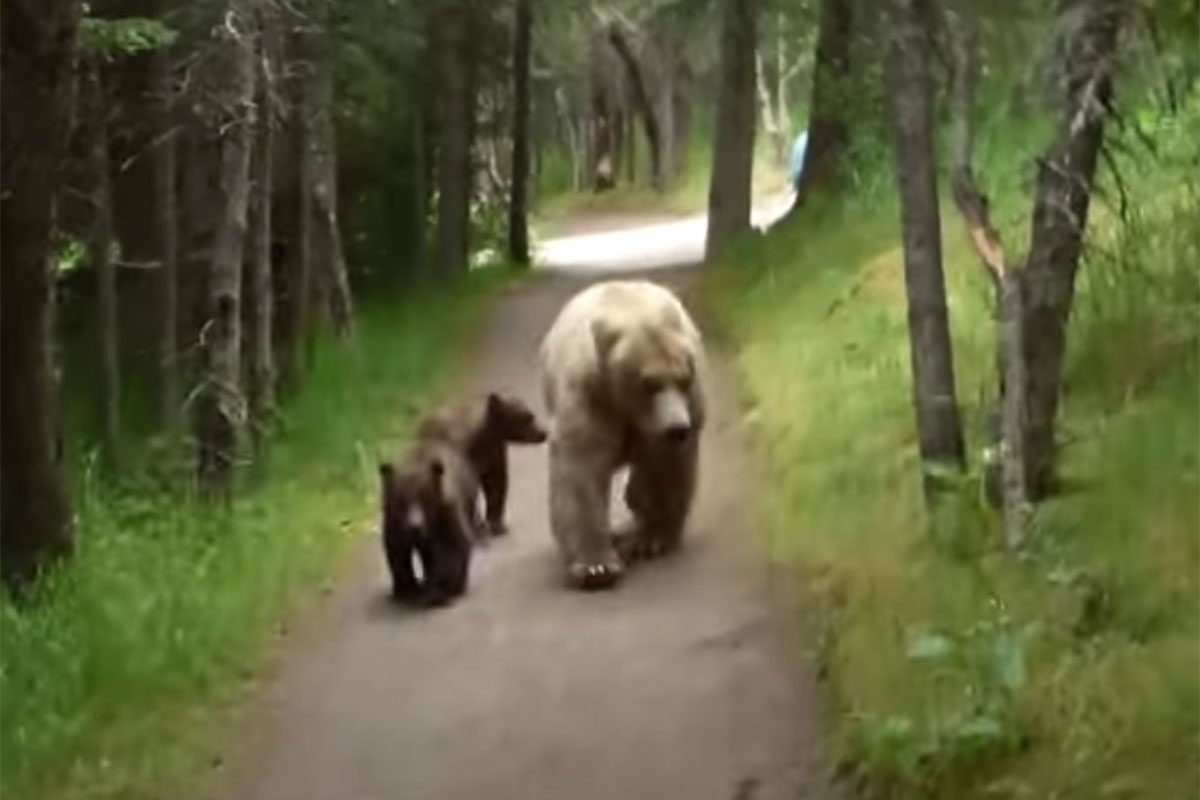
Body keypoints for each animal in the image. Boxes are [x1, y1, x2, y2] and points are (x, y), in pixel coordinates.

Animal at [378, 441, 480, 607]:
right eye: (401, 500)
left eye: (424, 497)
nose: (415, 526)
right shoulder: (393, 519)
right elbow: (397, 549)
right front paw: (408, 590)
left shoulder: (446, 511)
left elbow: (452, 545)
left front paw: (437, 591)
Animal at [415, 392, 547, 538]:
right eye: (527, 417)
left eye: (531, 414)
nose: (544, 432)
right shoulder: (463, 452)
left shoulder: (494, 450)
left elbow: (496, 483)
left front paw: (498, 526)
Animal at [538, 279, 707, 590]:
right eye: (649, 383)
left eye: (683, 379)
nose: (677, 428)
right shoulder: (589, 398)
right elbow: (580, 471)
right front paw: (596, 567)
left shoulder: (684, 407)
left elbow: (666, 468)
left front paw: (653, 539)